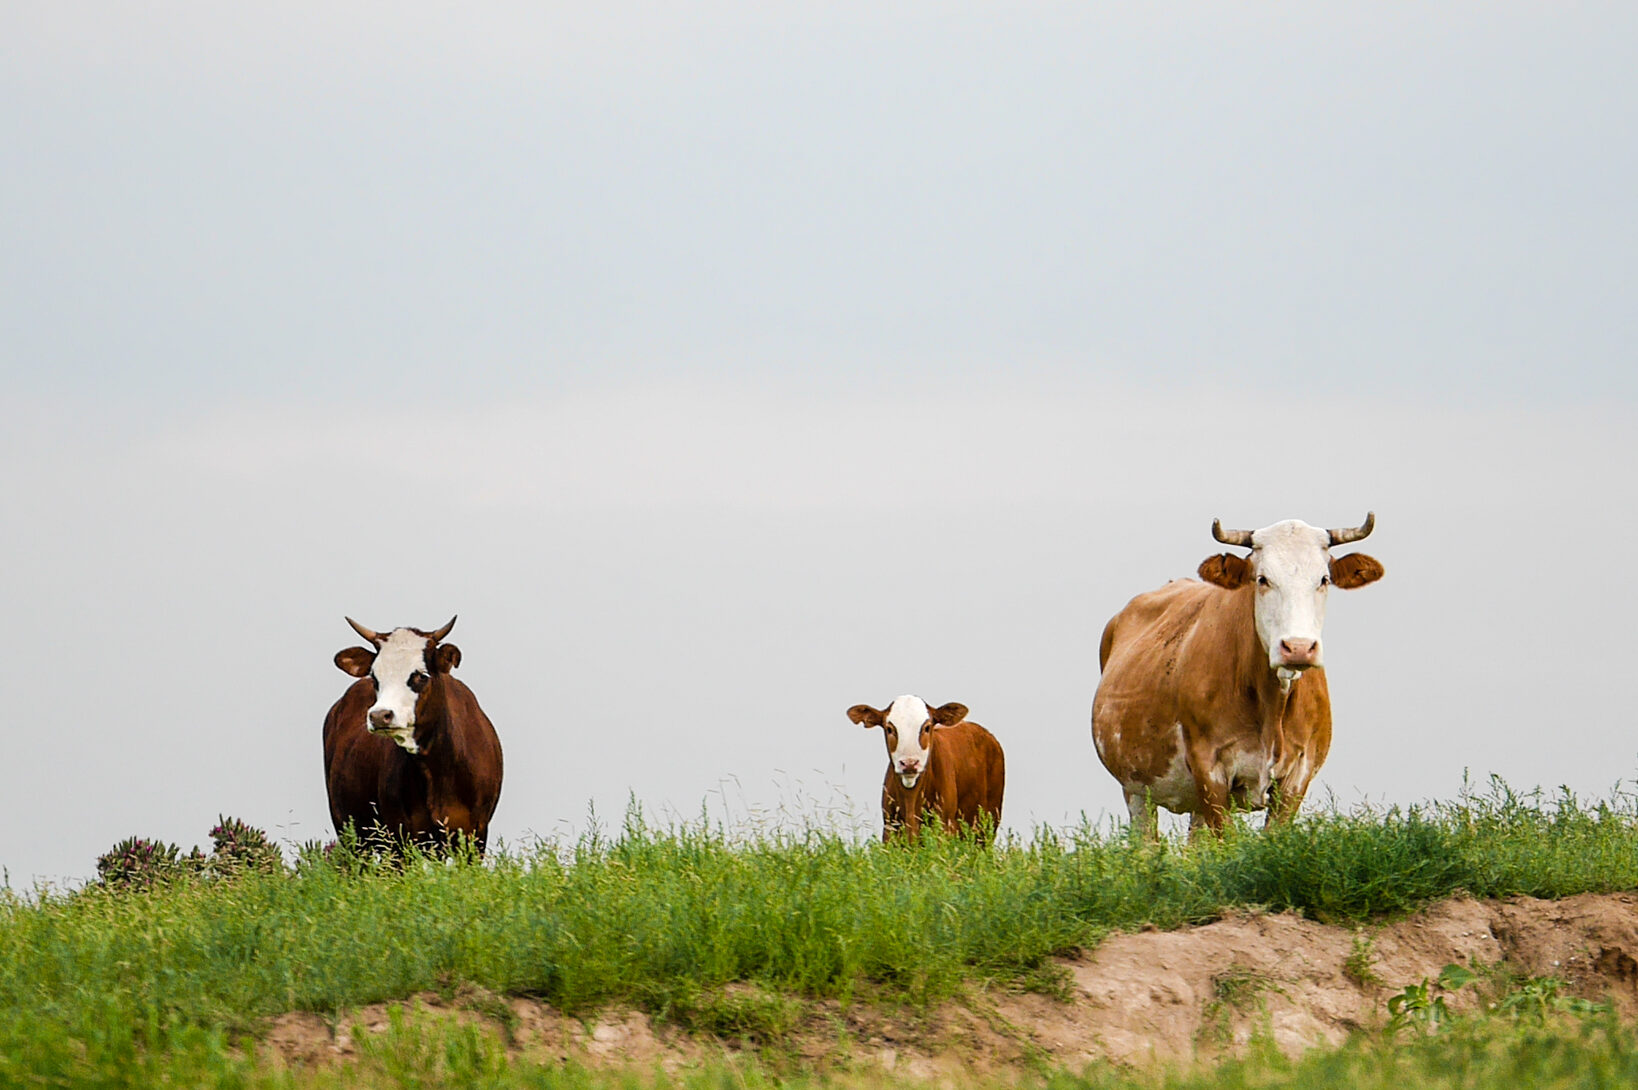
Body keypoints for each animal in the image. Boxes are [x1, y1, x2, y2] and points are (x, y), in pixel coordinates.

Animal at [324, 616, 504, 855]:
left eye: (420, 676)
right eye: (374, 677)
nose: (379, 715)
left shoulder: (476, 835)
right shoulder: (400, 837)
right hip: (350, 832)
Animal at [1091, 514, 1384, 837]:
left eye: (1323, 579)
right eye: (1263, 579)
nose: (1297, 647)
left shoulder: (1299, 774)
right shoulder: (1209, 769)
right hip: (1136, 789)